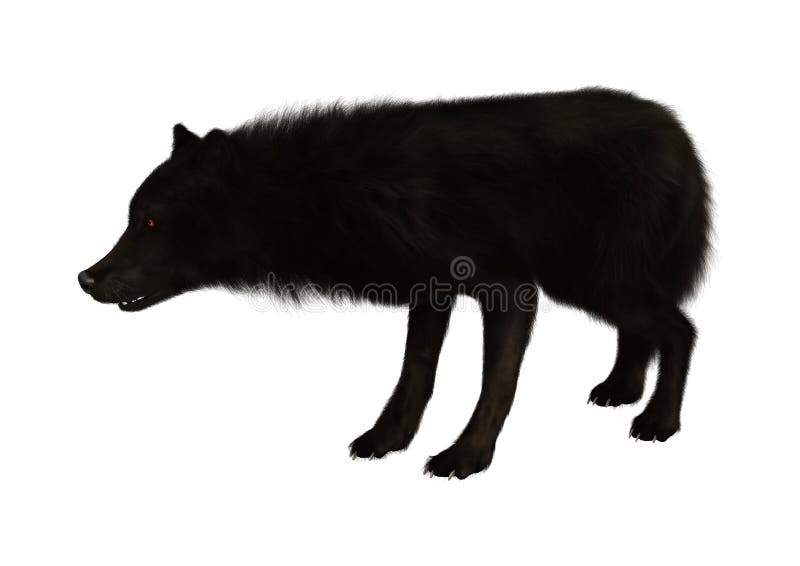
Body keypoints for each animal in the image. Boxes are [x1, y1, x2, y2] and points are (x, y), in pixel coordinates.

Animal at [78, 88, 711, 479]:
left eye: (150, 222)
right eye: (131, 217)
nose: (86, 278)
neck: (336, 189)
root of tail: (678, 132)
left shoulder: (509, 290)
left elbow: (495, 385)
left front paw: (466, 458)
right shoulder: (431, 292)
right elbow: (415, 376)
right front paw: (388, 441)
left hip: (591, 279)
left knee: (680, 328)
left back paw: (658, 421)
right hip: (599, 280)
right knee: (645, 328)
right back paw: (621, 390)